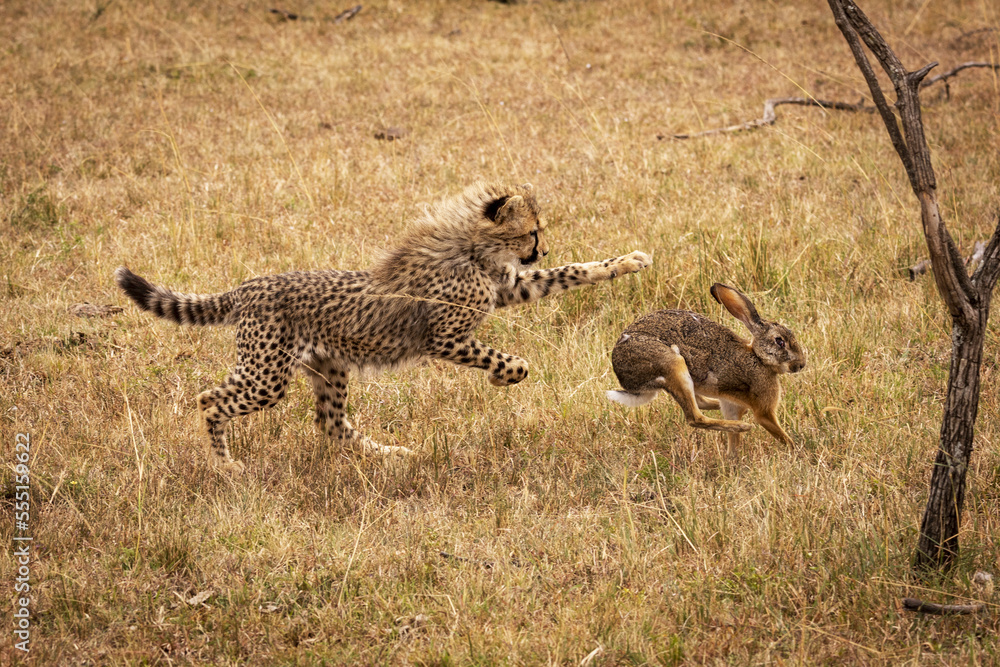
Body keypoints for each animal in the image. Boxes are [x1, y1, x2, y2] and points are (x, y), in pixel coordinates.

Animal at [115, 182, 652, 473]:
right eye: (532, 232)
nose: (541, 249)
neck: (472, 248)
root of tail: (249, 284)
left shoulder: (509, 287)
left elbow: (572, 272)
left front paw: (627, 262)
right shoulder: (445, 337)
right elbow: (500, 356)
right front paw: (508, 374)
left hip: (326, 368)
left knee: (329, 423)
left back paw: (388, 453)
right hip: (268, 374)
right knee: (209, 399)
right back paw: (226, 465)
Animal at [607, 283, 805, 450]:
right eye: (780, 341)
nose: (801, 364)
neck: (758, 359)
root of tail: (627, 381)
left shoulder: (733, 407)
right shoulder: (764, 409)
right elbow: (773, 427)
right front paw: (795, 450)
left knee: (700, 403)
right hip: (673, 365)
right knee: (695, 418)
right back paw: (743, 426)